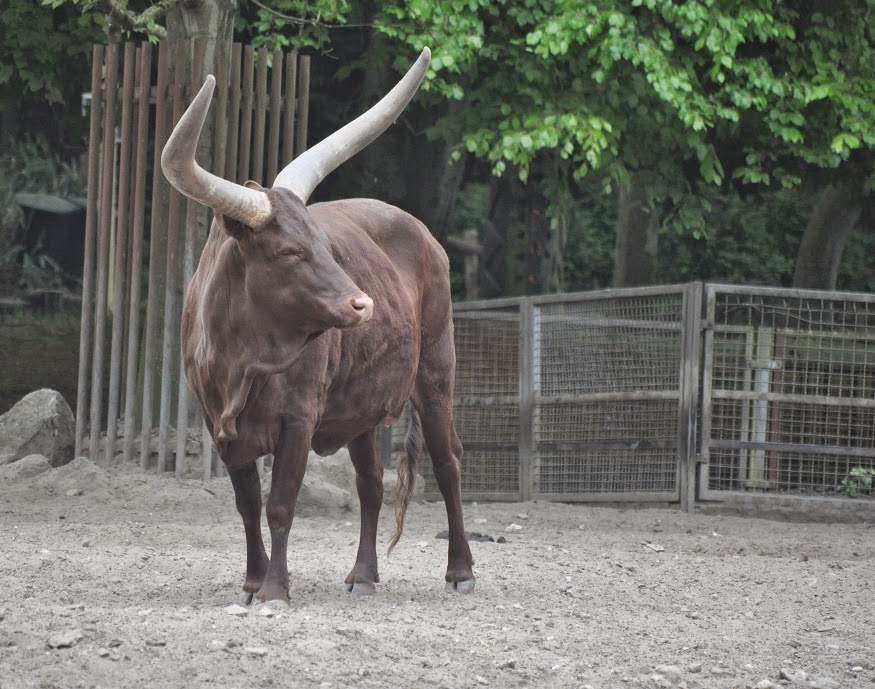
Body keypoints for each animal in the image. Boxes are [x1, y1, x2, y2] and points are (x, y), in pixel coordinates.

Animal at [160, 49, 474, 604]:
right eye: (288, 251)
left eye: (326, 245)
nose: (362, 305)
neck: (242, 360)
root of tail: (424, 233)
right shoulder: (218, 424)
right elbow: (247, 505)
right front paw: (252, 581)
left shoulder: (299, 418)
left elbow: (281, 504)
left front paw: (274, 590)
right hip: (362, 409)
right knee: (371, 482)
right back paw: (363, 575)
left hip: (437, 371)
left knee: (448, 461)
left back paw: (460, 571)